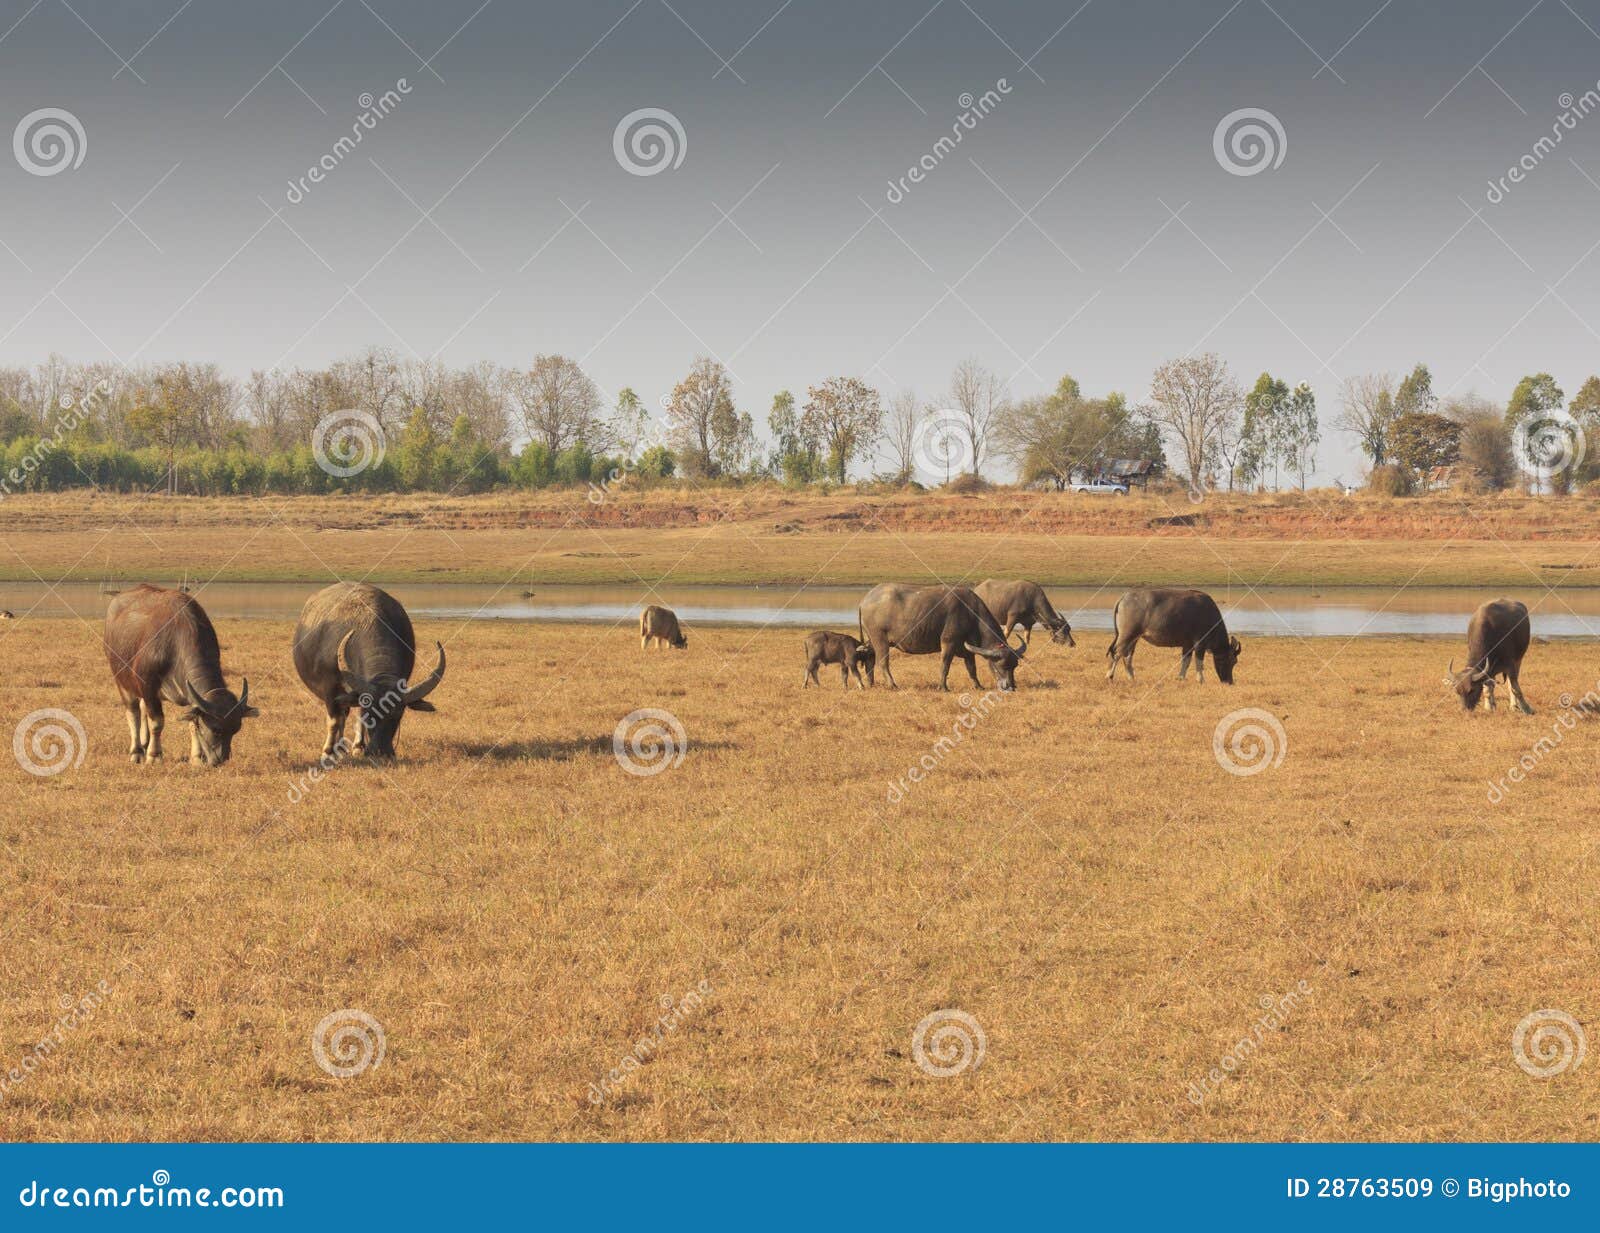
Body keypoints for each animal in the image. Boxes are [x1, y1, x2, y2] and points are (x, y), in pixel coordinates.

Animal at [104, 583, 257, 766]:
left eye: (235, 729)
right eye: (216, 729)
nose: (220, 759)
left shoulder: (191, 695)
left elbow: (192, 722)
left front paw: (197, 757)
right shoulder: (148, 687)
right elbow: (157, 722)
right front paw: (154, 756)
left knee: (142, 708)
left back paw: (145, 742)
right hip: (121, 680)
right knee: (133, 712)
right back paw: (137, 752)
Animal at [292, 582, 445, 761]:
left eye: (398, 714)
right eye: (370, 712)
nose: (381, 752)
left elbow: (357, 717)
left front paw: (358, 747)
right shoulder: (329, 689)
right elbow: (334, 721)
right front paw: (328, 752)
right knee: (341, 716)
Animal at [858, 583, 1025, 691]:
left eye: (1015, 665)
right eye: (1003, 665)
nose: (1012, 686)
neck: (971, 614)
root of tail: (865, 600)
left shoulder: (967, 650)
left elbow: (972, 668)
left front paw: (978, 686)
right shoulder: (948, 643)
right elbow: (945, 665)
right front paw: (943, 687)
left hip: (871, 641)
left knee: (870, 659)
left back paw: (871, 683)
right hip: (880, 639)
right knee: (882, 662)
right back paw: (892, 685)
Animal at [1107, 587, 1240, 683]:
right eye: (1232, 660)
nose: (1229, 682)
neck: (1209, 615)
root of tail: (1124, 597)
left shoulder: (1187, 645)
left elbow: (1186, 661)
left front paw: (1181, 678)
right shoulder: (1199, 644)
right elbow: (1199, 663)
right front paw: (1200, 679)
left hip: (1134, 638)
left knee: (1127, 656)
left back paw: (1131, 678)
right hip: (1127, 635)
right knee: (1116, 652)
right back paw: (1109, 675)